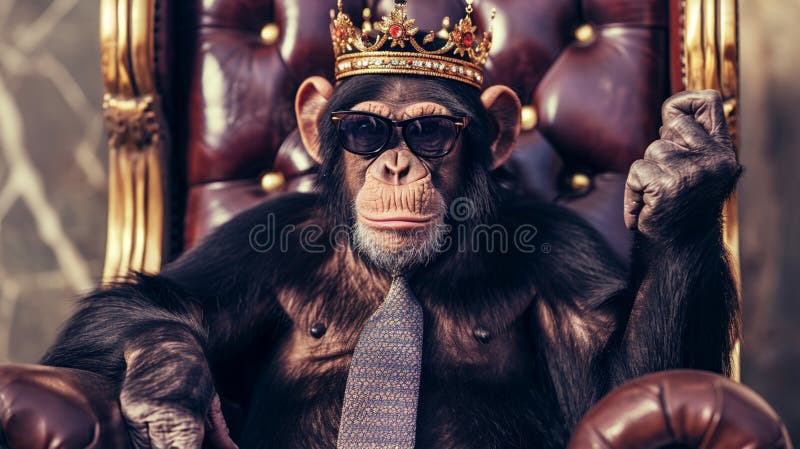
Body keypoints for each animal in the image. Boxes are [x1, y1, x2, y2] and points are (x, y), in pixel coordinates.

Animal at [34, 74, 740, 449]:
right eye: (366, 130)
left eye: (430, 132)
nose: (396, 164)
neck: (401, 272)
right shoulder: (259, 239)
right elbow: (161, 303)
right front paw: (168, 381)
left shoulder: (563, 249)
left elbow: (625, 379)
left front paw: (683, 180)